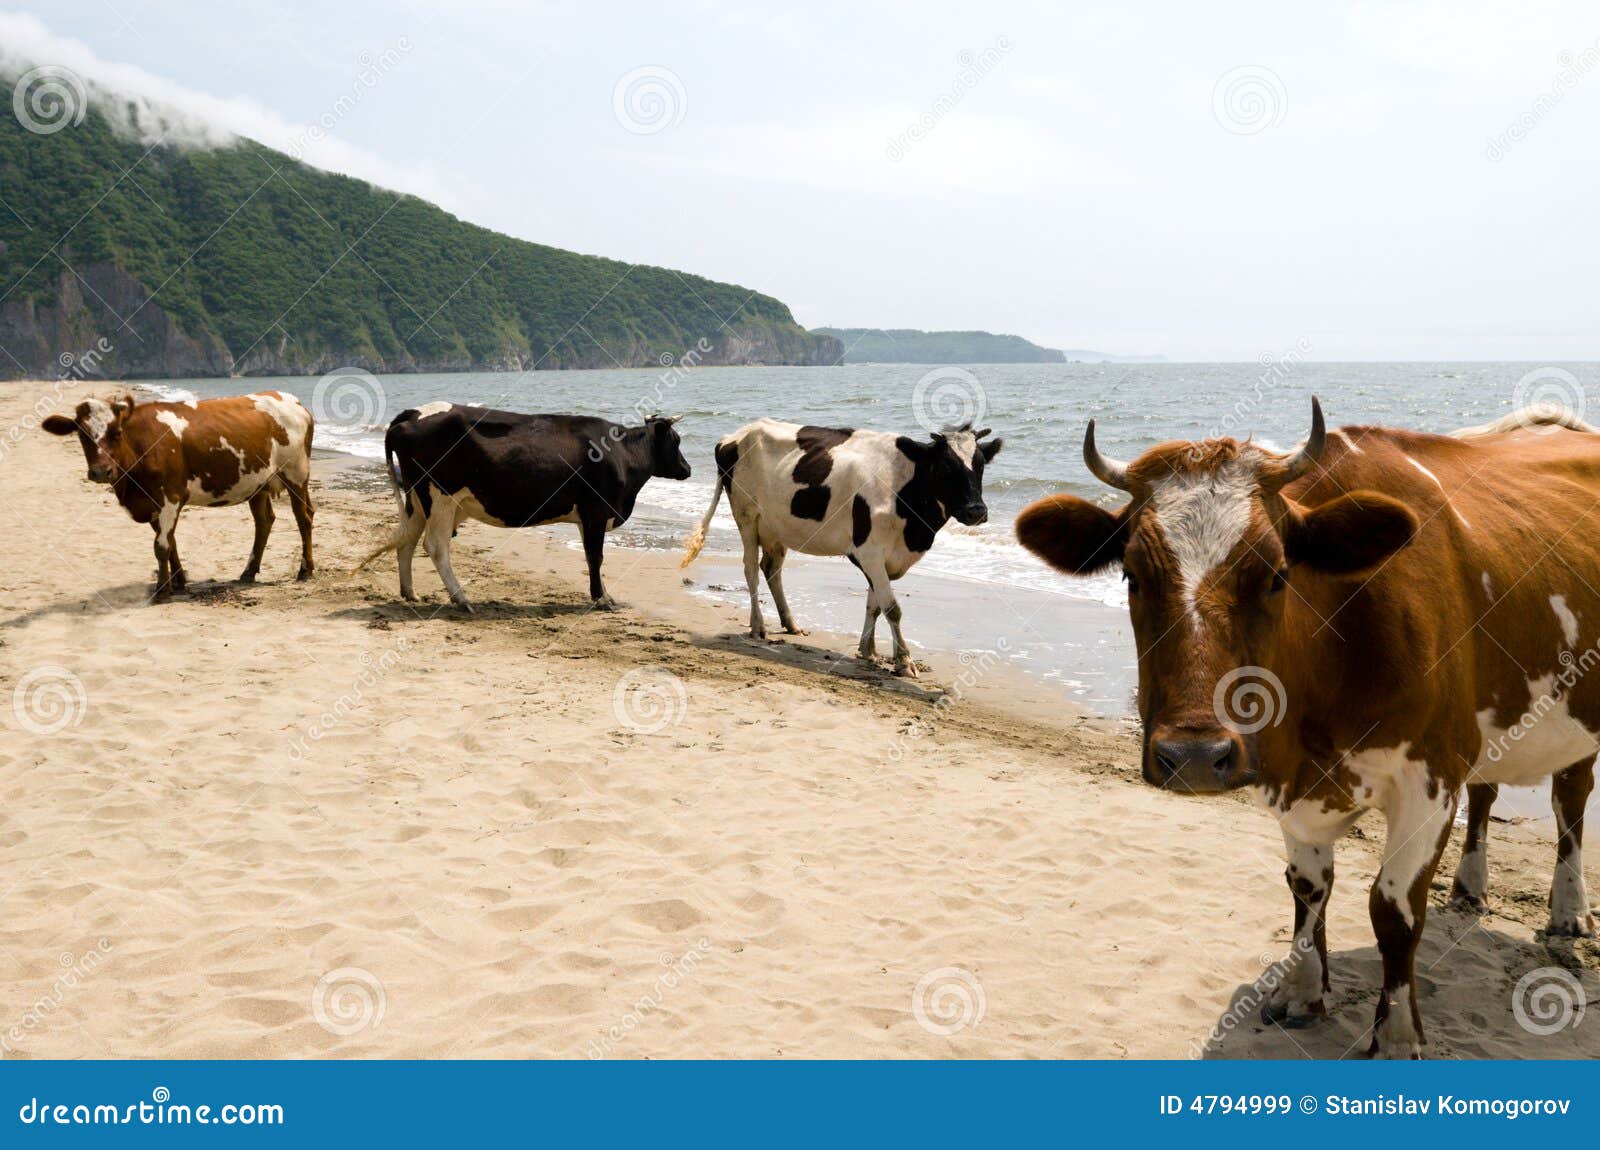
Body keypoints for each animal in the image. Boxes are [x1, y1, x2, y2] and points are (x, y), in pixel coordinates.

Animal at [42, 392, 315, 601]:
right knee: (264, 521)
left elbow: (161, 545)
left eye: (117, 432)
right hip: (257, 483)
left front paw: (163, 590)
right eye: (82, 434)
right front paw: (179, 581)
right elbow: (170, 541)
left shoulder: (169, 497)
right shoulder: (151, 502)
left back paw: (306, 570)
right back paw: (248, 572)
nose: (101, 471)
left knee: (304, 517)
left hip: (296, 473)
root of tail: (291, 400)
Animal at [360, 403, 691, 611]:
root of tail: (414, 413)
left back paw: (410, 593)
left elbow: (590, 558)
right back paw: (462, 599)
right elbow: (595, 558)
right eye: (676, 441)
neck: (622, 453)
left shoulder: (587, 517)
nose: (688, 469)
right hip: (440, 497)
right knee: (435, 545)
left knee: (407, 540)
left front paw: (602, 595)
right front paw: (601, 599)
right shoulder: (596, 512)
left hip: (418, 499)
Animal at [680, 419, 1002, 677]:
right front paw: (903, 661)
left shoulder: (881, 556)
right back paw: (758, 626)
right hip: (746, 516)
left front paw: (868, 651)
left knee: (771, 569)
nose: (976, 511)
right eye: (947, 465)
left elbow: (874, 604)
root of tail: (735, 435)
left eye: (981, 464)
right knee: (750, 570)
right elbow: (892, 608)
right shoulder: (869, 551)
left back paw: (791, 623)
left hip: (775, 526)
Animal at [1013, 397, 1600, 1057]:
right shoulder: (1287, 776)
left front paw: (1396, 1034)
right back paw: (1470, 886)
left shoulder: (1430, 775)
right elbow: (1307, 885)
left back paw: (1567, 910)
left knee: (1571, 797)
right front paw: (1301, 991)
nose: (1193, 756)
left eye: (1276, 573)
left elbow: (1394, 910)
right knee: (1490, 789)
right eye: (1132, 577)